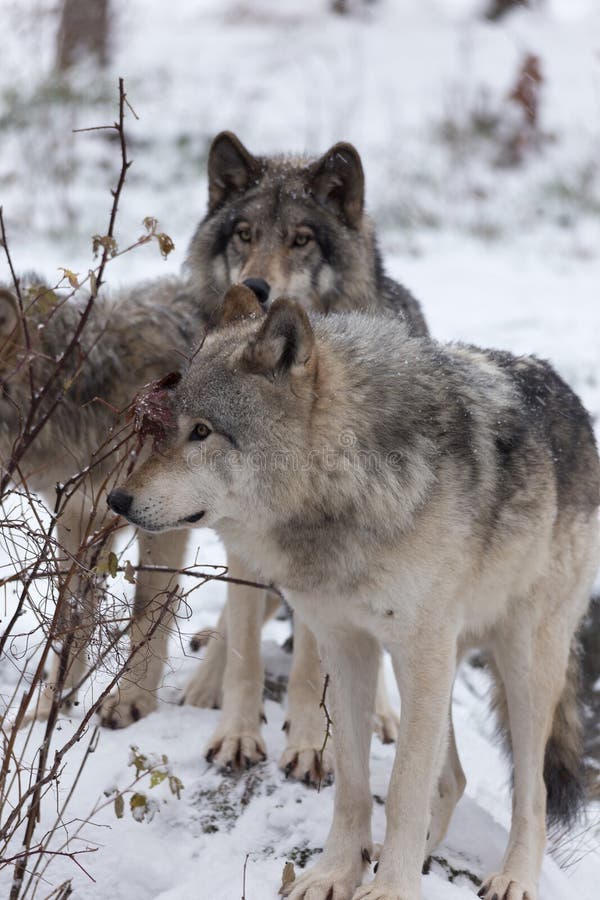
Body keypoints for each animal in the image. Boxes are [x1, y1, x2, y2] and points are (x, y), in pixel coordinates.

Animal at [109, 283, 599, 900]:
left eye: (203, 432)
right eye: (168, 425)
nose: (118, 499)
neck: (350, 486)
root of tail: (568, 392)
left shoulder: (419, 653)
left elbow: (406, 786)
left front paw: (390, 890)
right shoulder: (346, 646)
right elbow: (352, 782)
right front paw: (337, 872)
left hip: (520, 662)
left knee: (531, 788)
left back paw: (513, 877)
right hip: (441, 660)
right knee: (455, 778)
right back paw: (414, 853)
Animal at [179, 131, 427, 778]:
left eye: (301, 239)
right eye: (244, 234)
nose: (255, 288)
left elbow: (319, 665)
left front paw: (313, 744)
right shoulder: (240, 541)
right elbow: (244, 651)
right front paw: (236, 736)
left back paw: (381, 715)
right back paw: (202, 681)